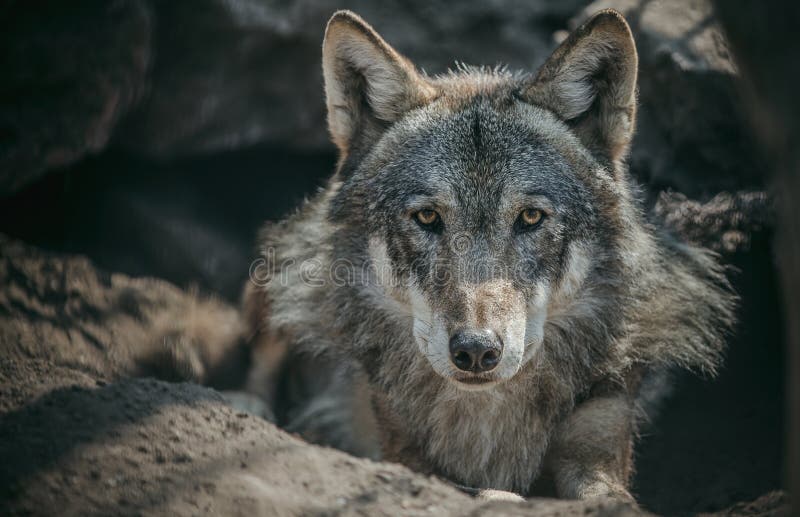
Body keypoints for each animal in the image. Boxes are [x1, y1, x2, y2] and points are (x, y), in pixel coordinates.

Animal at [242, 9, 736, 501]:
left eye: (531, 217)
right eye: (427, 217)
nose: (476, 351)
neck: (486, 414)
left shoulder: (600, 438)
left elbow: (608, 497)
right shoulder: (401, 450)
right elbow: (476, 489)